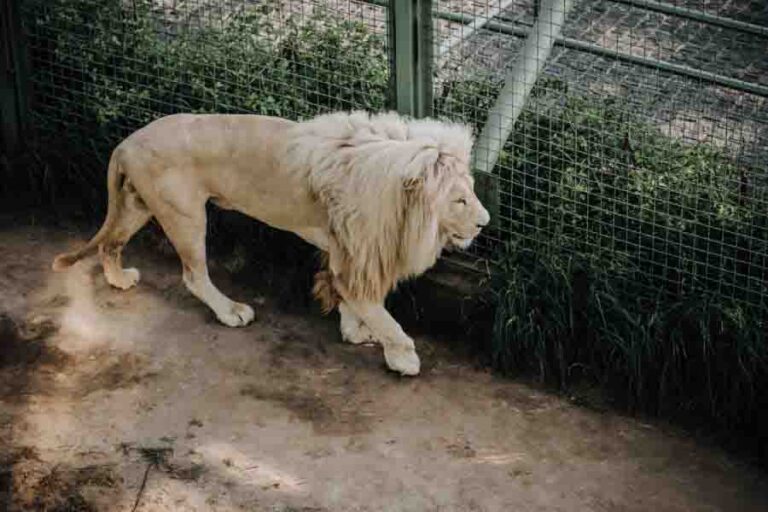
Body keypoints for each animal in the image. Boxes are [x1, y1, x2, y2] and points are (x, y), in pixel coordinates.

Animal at [51, 111, 490, 375]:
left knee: (109, 244)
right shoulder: (356, 246)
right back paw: (231, 311)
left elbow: (349, 296)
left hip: (137, 203)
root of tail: (127, 142)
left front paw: (355, 331)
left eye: (472, 191)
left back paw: (118, 279)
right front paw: (401, 355)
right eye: (460, 200)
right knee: (194, 276)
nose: (485, 223)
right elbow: (374, 307)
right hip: (186, 214)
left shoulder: (347, 244)